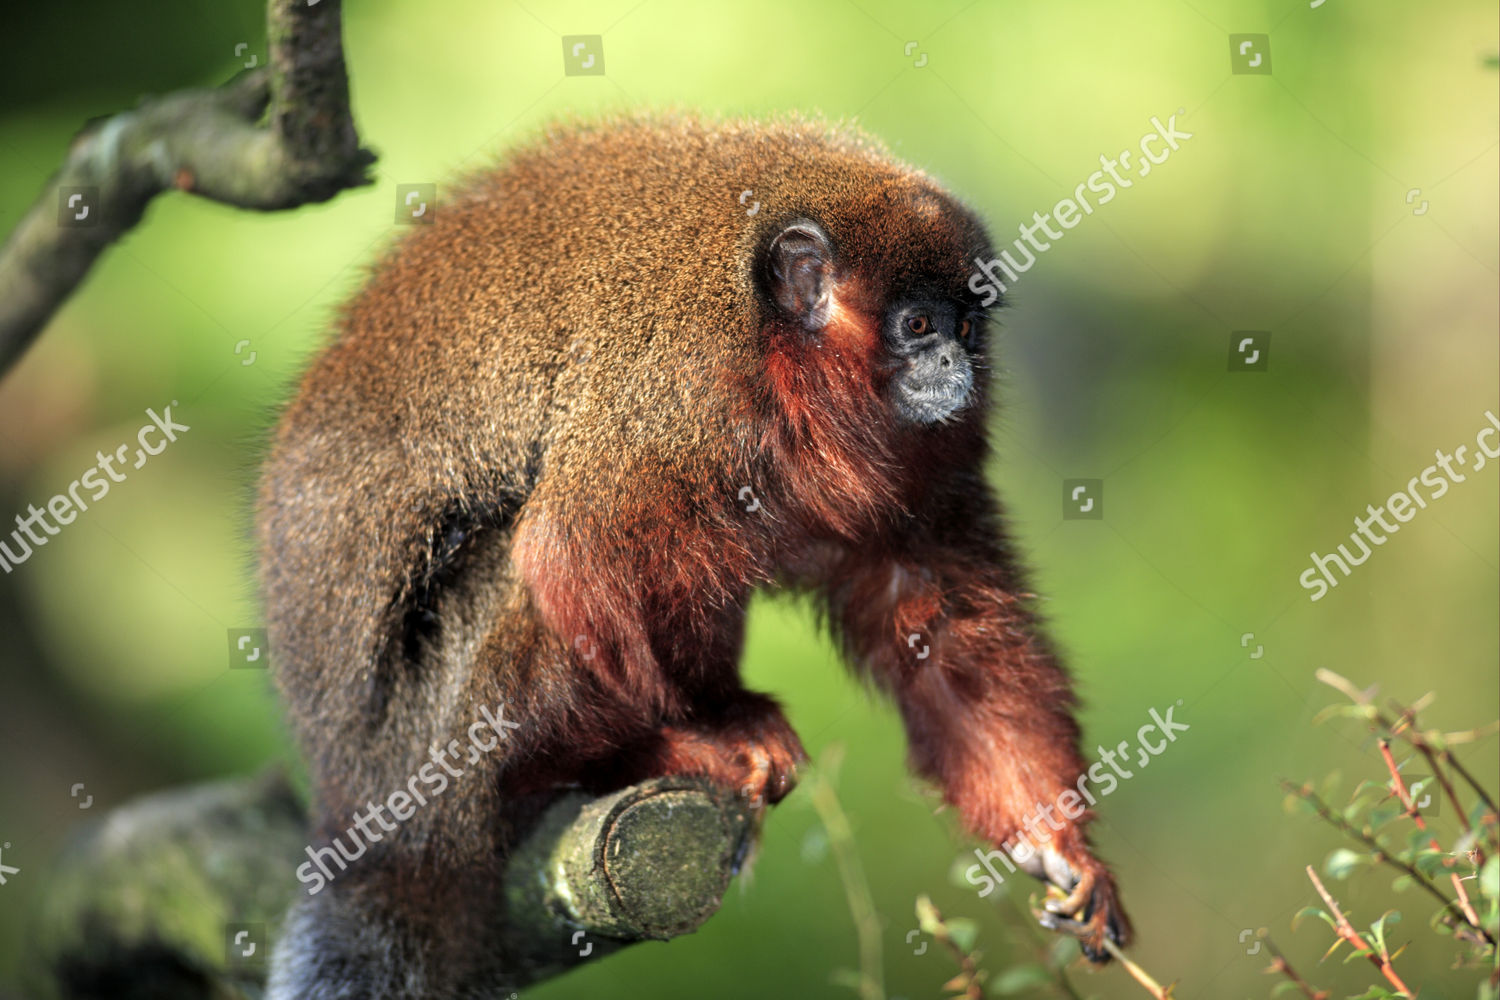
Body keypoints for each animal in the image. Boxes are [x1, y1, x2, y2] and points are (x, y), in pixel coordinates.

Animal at [257, 113, 1130, 998]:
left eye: (967, 328)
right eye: (917, 326)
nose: (955, 366)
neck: (775, 352)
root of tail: (355, 798)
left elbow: (931, 610)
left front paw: (1056, 842)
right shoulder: (683, 388)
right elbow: (574, 547)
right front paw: (709, 730)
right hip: (435, 742)